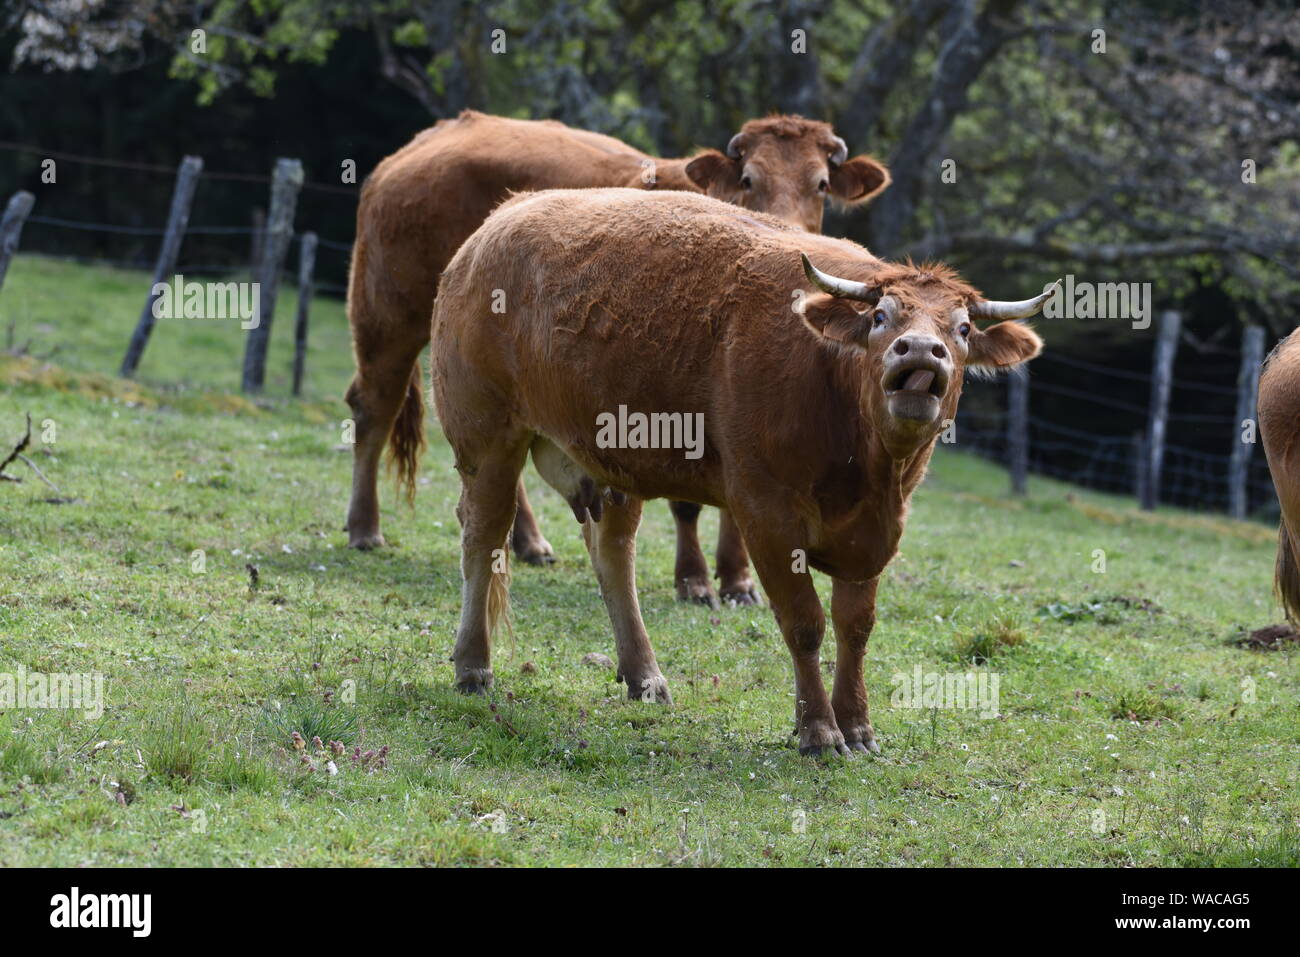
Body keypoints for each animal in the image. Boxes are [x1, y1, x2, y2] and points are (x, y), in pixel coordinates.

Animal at [345, 110, 890, 608]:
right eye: (749, 179)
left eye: (821, 184)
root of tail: (423, 142)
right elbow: (688, 506)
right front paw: (694, 580)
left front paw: (737, 580)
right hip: (389, 320)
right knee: (373, 409)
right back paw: (365, 527)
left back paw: (529, 542)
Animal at [431, 188, 1055, 755]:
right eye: (881, 317)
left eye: (963, 329)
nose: (920, 350)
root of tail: (502, 218)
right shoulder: (768, 516)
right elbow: (804, 622)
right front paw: (819, 730)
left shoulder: (874, 536)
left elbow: (855, 627)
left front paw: (857, 725)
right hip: (488, 439)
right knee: (483, 539)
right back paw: (473, 666)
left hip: (610, 466)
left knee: (612, 555)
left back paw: (644, 676)